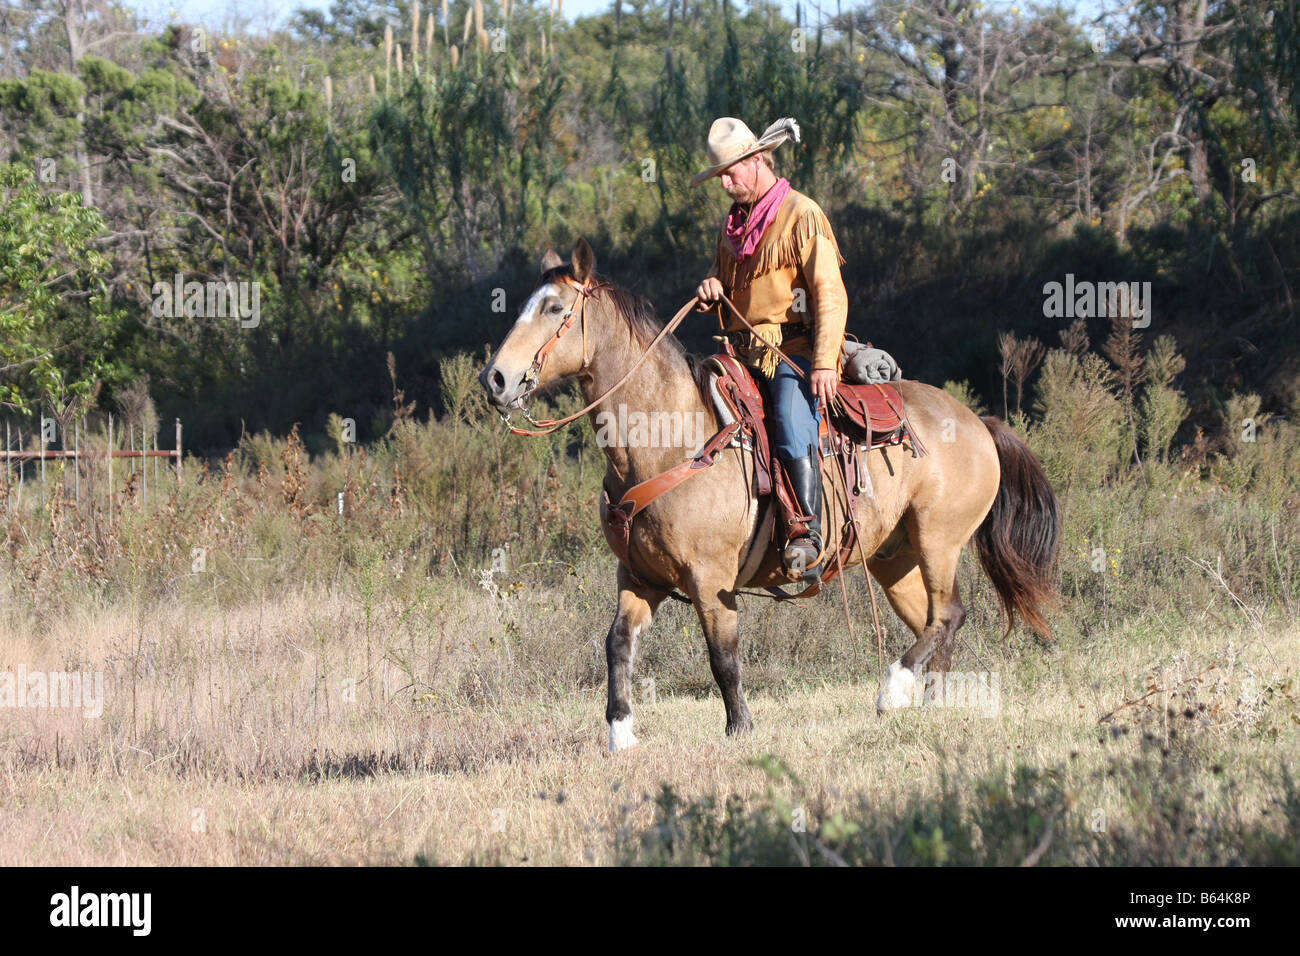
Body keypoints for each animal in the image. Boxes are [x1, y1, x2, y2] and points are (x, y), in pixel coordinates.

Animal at [479, 238, 1061, 752]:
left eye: (555, 307)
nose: (496, 379)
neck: (669, 440)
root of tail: (979, 422)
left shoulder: (710, 578)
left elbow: (723, 655)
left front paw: (740, 728)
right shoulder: (639, 577)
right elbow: (617, 644)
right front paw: (620, 734)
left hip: (939, 540)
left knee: (948, 616)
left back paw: (892, 690)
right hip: (894, 559)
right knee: (934, 624)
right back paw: (933, 703)